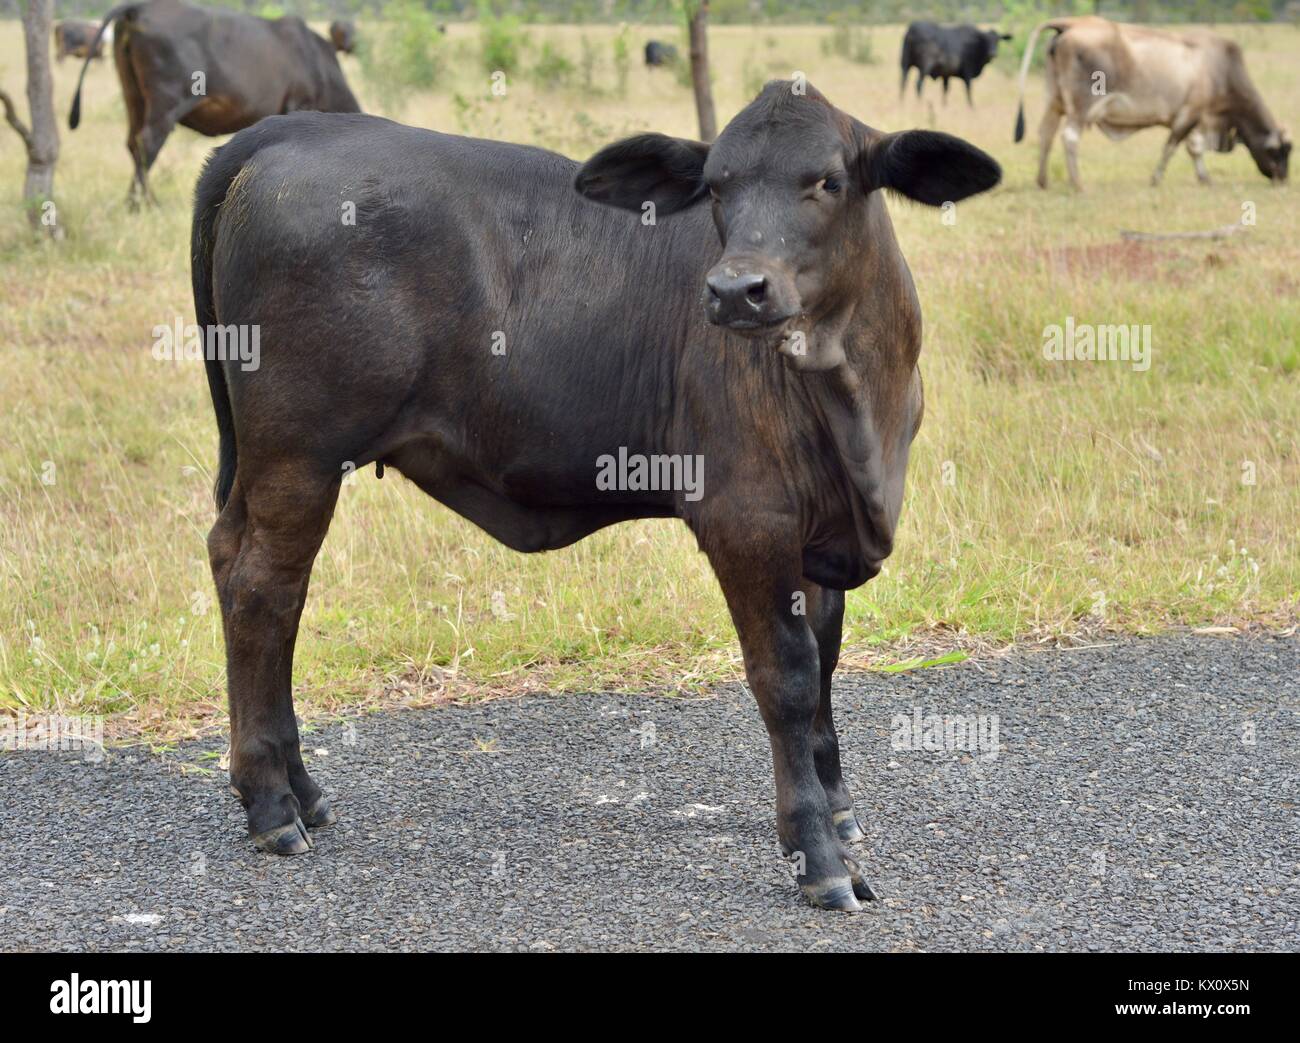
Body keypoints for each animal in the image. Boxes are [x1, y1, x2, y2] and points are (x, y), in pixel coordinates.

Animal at [67, 1, 360, 209]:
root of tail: (139, 7)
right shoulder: (298, 103)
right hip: (166, 100)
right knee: (147, 143)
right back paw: (141, 205)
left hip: (133, 96)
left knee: (133, 143)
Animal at [191, 81, 1000, 912]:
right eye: (717, 186)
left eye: (828, 181)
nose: (735, 290)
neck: (854, 401)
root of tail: (289, 132)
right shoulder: (748, 520)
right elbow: (789, 676)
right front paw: (817, 851)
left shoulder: (821, 537)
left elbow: (828, 664)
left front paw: (839, 813)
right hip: (298, 456)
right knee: (263, 587)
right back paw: (271, 804)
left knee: (243, 566)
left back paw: (299, 788)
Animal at [1014, 17, 1290, 189]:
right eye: (1280, 151)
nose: (1284, 180)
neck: (1219, 69)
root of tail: (1071, 23)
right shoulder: (1190, 114)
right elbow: (1173, 147)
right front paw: (1156, 179)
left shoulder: (1196, 118)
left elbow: (1194, 149)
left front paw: (1205, 178)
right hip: (1082, 105)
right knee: (1069, 137)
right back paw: (1078, 184)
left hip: (1055, 101)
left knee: (1046, 133)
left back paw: (1042, 181)